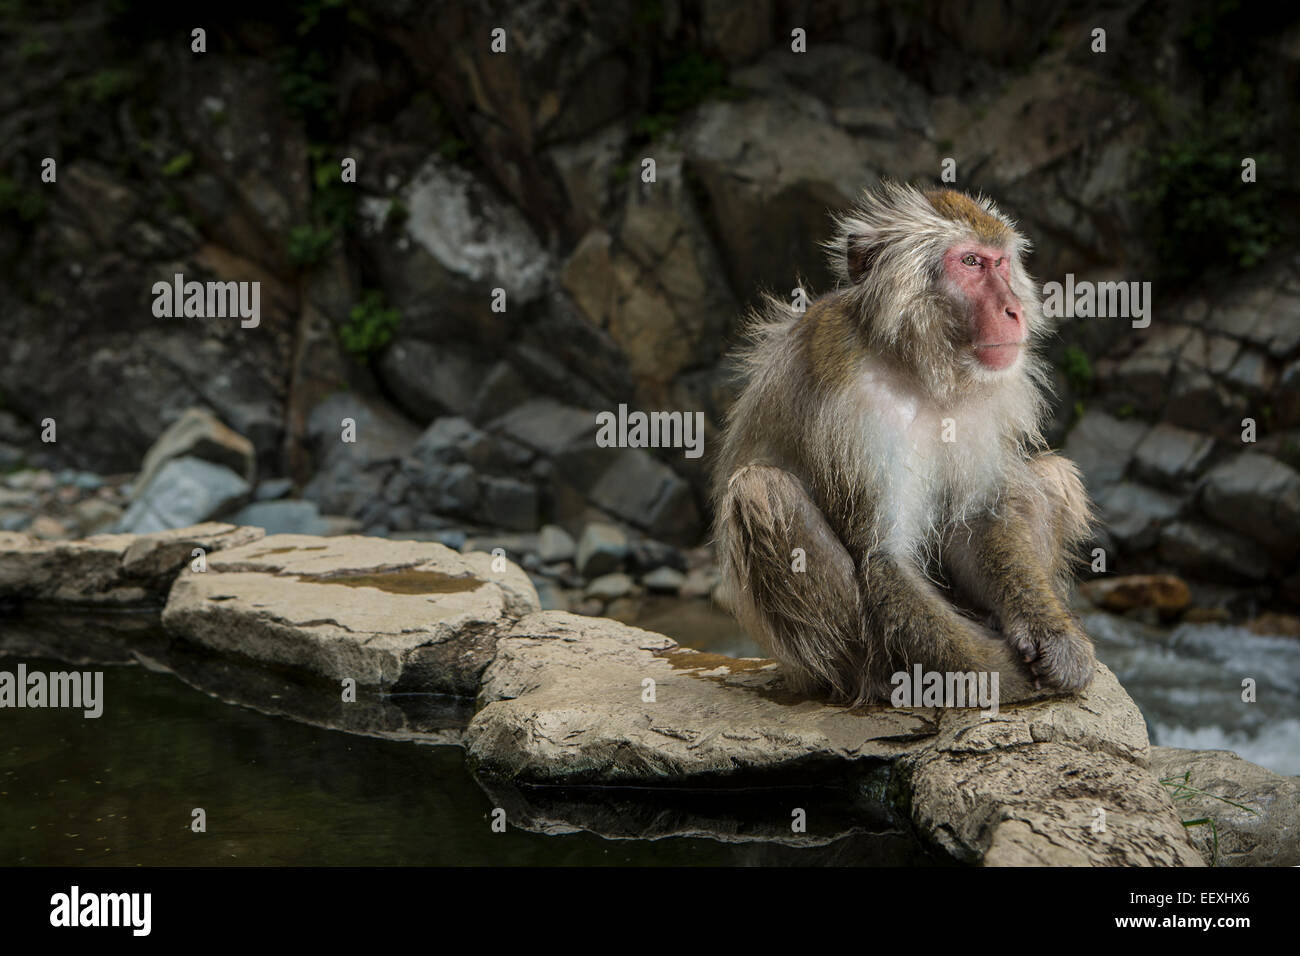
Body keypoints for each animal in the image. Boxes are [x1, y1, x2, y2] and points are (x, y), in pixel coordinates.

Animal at [712, 181, 1096, 707]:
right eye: (969, 263)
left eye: (999, 263)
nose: (1013, 309)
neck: (917, 367)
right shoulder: (853, 410)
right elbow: (882, 557)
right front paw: (1000, 678)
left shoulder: (982, 404)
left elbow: (976, 522)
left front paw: (1056, 638)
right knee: (763, 491)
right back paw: (880, 677)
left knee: (1051, 474)